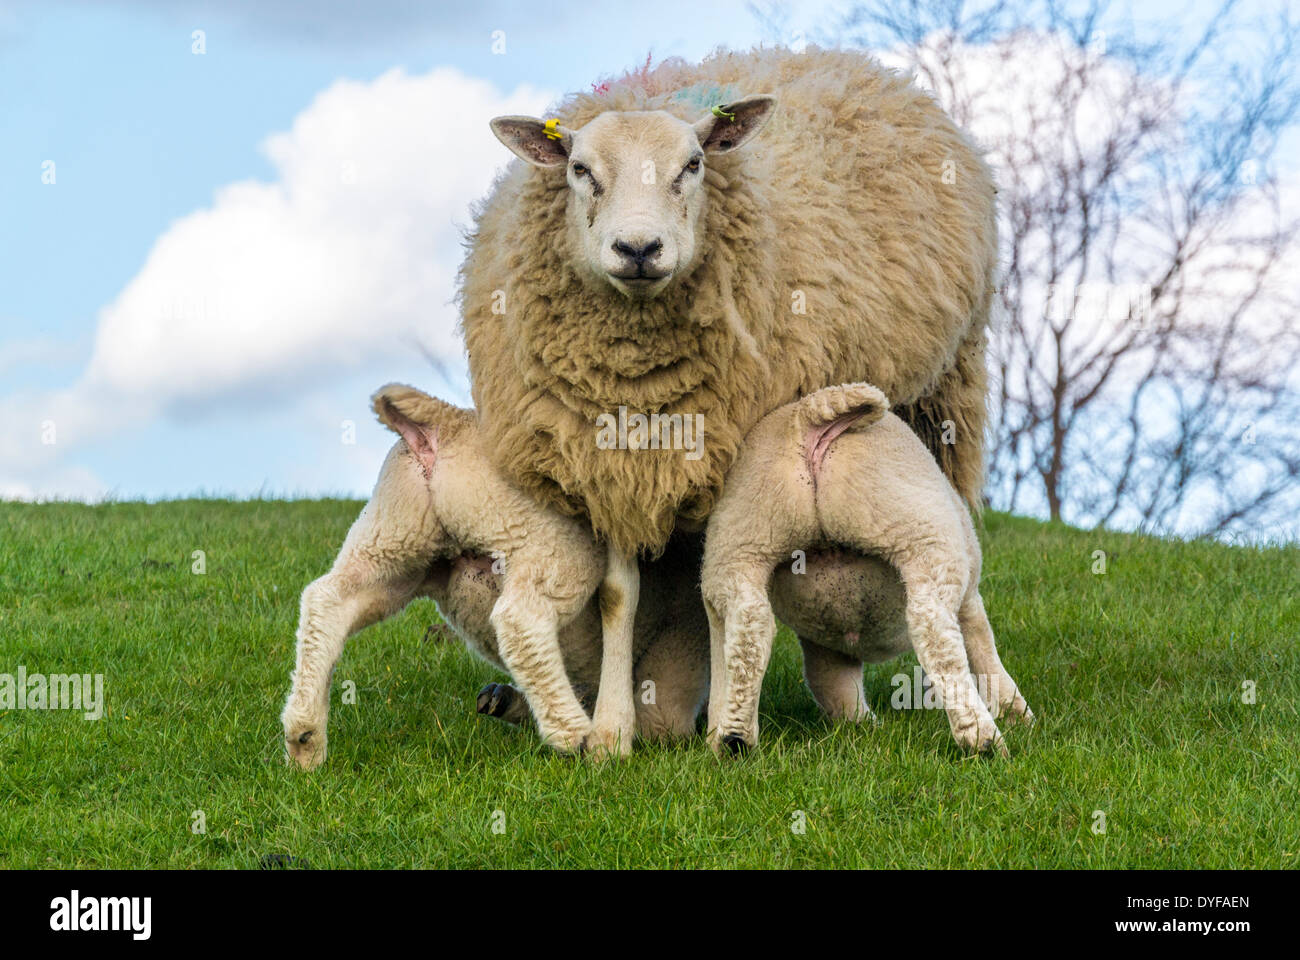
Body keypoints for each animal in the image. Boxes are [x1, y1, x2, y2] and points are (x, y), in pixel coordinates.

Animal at [280, 385, 707, 769]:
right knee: (522, 619)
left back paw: (304, 736)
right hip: (548, 537)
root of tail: (446, 423)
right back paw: (571, 732)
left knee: (327, 600)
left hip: (393, 536)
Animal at [699, 383, 1033, 757]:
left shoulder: (825, 639)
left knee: (744, 630)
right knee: (934, 632)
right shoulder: (970, 597)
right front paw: (1015, 713)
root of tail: (806, 418)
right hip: (916, 529)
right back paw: (981, 738)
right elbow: (983, 648)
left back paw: (730, 736)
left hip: (742, 539)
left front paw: (859, 725)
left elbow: (832, 683)